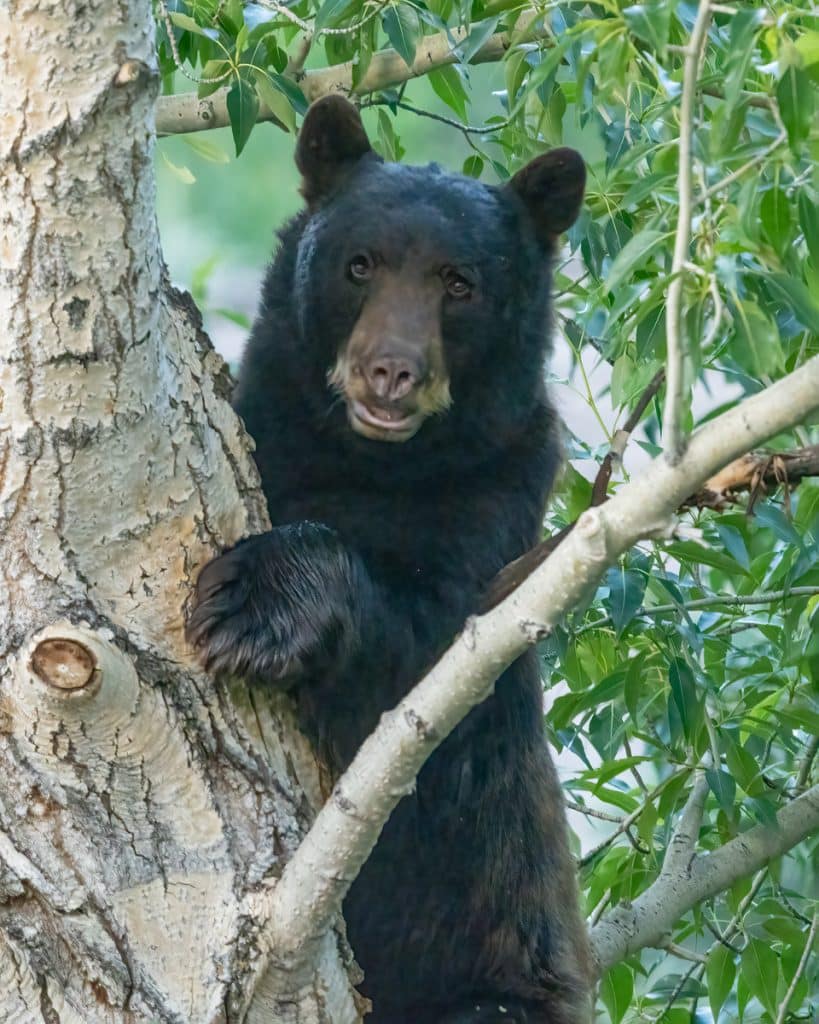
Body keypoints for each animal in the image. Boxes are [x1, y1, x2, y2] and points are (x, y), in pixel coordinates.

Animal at [188, 95, 591, 1024]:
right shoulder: (271, 427)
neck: (373, 464)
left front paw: (253, 607)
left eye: (459, 283)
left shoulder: (499, 498)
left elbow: (434, 659)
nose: (390, 373)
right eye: (359, 265)